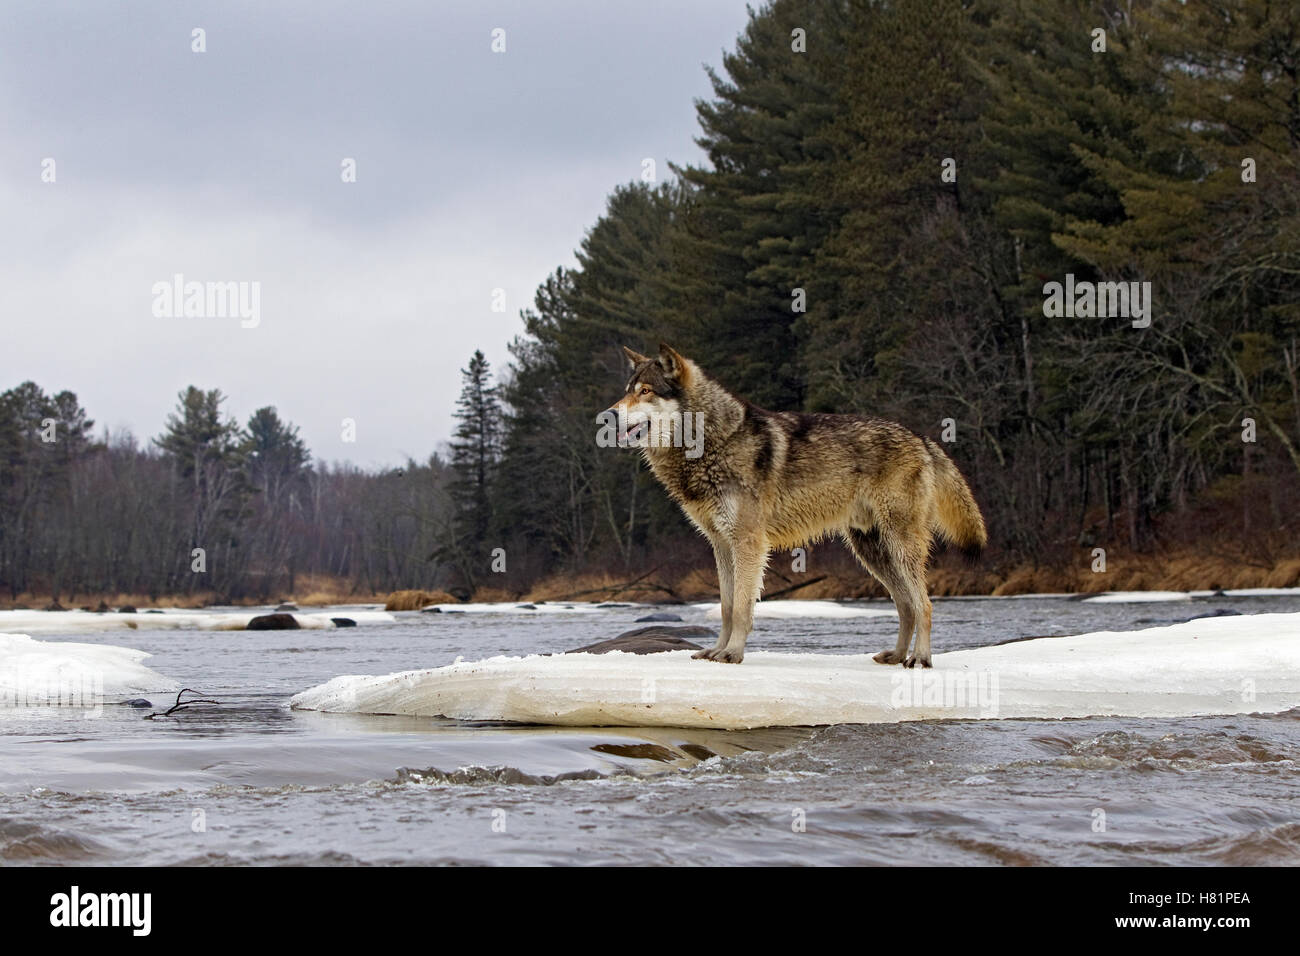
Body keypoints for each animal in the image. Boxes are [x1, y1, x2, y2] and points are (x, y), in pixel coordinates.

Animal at [605, 344, 987, 667]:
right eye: (627, 389)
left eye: (645, 391)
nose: (607, 415)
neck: (713, 442)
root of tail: (921, 437)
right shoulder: (722, 545)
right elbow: (726, 606)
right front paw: (715, 651)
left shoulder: (748, 543)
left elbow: (741, 608)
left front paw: (732, 654)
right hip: (873, 552)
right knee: (906, 606)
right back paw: (895, 656)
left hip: (899, 547)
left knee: (924, 605)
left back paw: (920, 659)